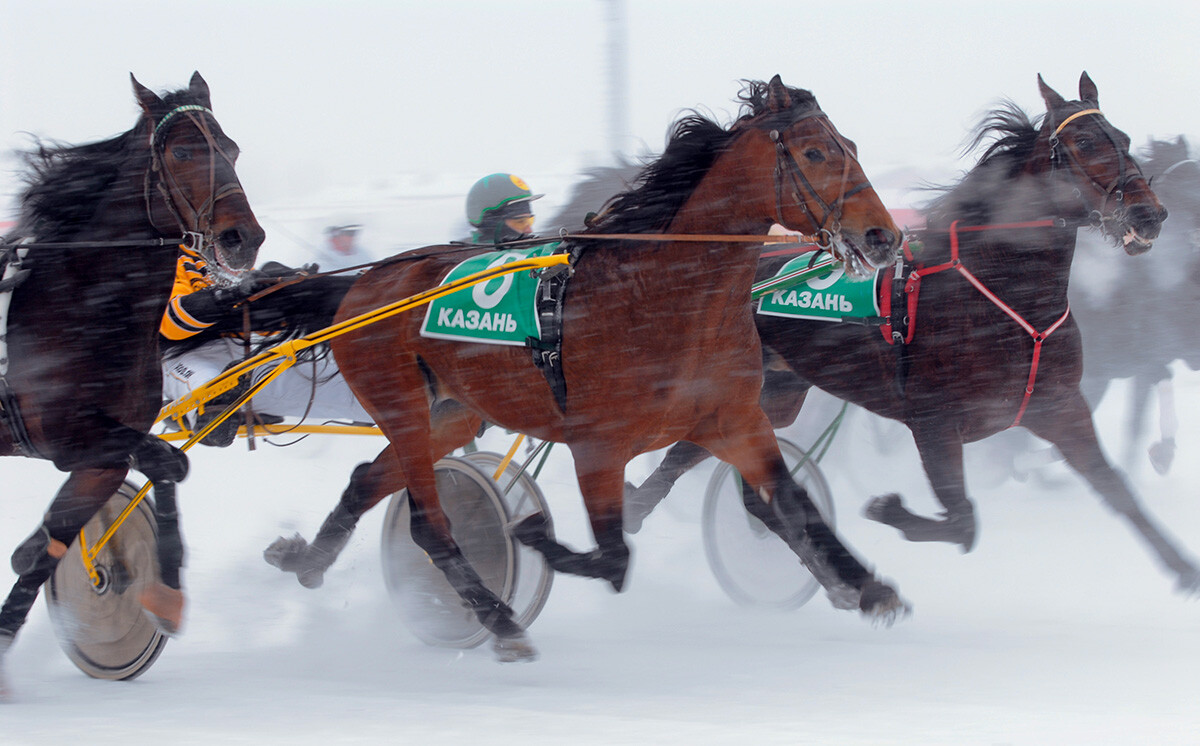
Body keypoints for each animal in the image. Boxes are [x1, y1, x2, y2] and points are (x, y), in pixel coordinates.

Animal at [0, 73, 264, 687]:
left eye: (232, 149)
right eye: (182, 151)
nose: (243, 238)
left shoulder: (99, 457)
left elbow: (52, 541)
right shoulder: (64, 434)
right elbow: (168, 462)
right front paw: (162, 588)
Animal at [263, 76, 908, 661]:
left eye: (850, 144)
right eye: (815, 152)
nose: (885, 236)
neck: (664, 297)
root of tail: (362, 283)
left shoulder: (735, 420)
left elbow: (795, 505)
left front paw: (872, 589)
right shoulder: (597, 446)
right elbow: (615, 558)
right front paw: (529, 532)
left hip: (453, 414)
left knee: (366, 481)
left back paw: (305, 560)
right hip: (400, 406)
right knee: (429, 524)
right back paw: (499, 620)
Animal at [625, 73, 1200, 595]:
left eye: (1124, 139)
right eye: (1084, 143)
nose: (1149, 214)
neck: (1006, 294)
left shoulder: (1059, 406)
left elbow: (1117, 490)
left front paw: (1181, 568)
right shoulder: (933, 421)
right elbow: (963, 522)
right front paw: (888, 508)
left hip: (773, 394)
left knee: (697, 465)